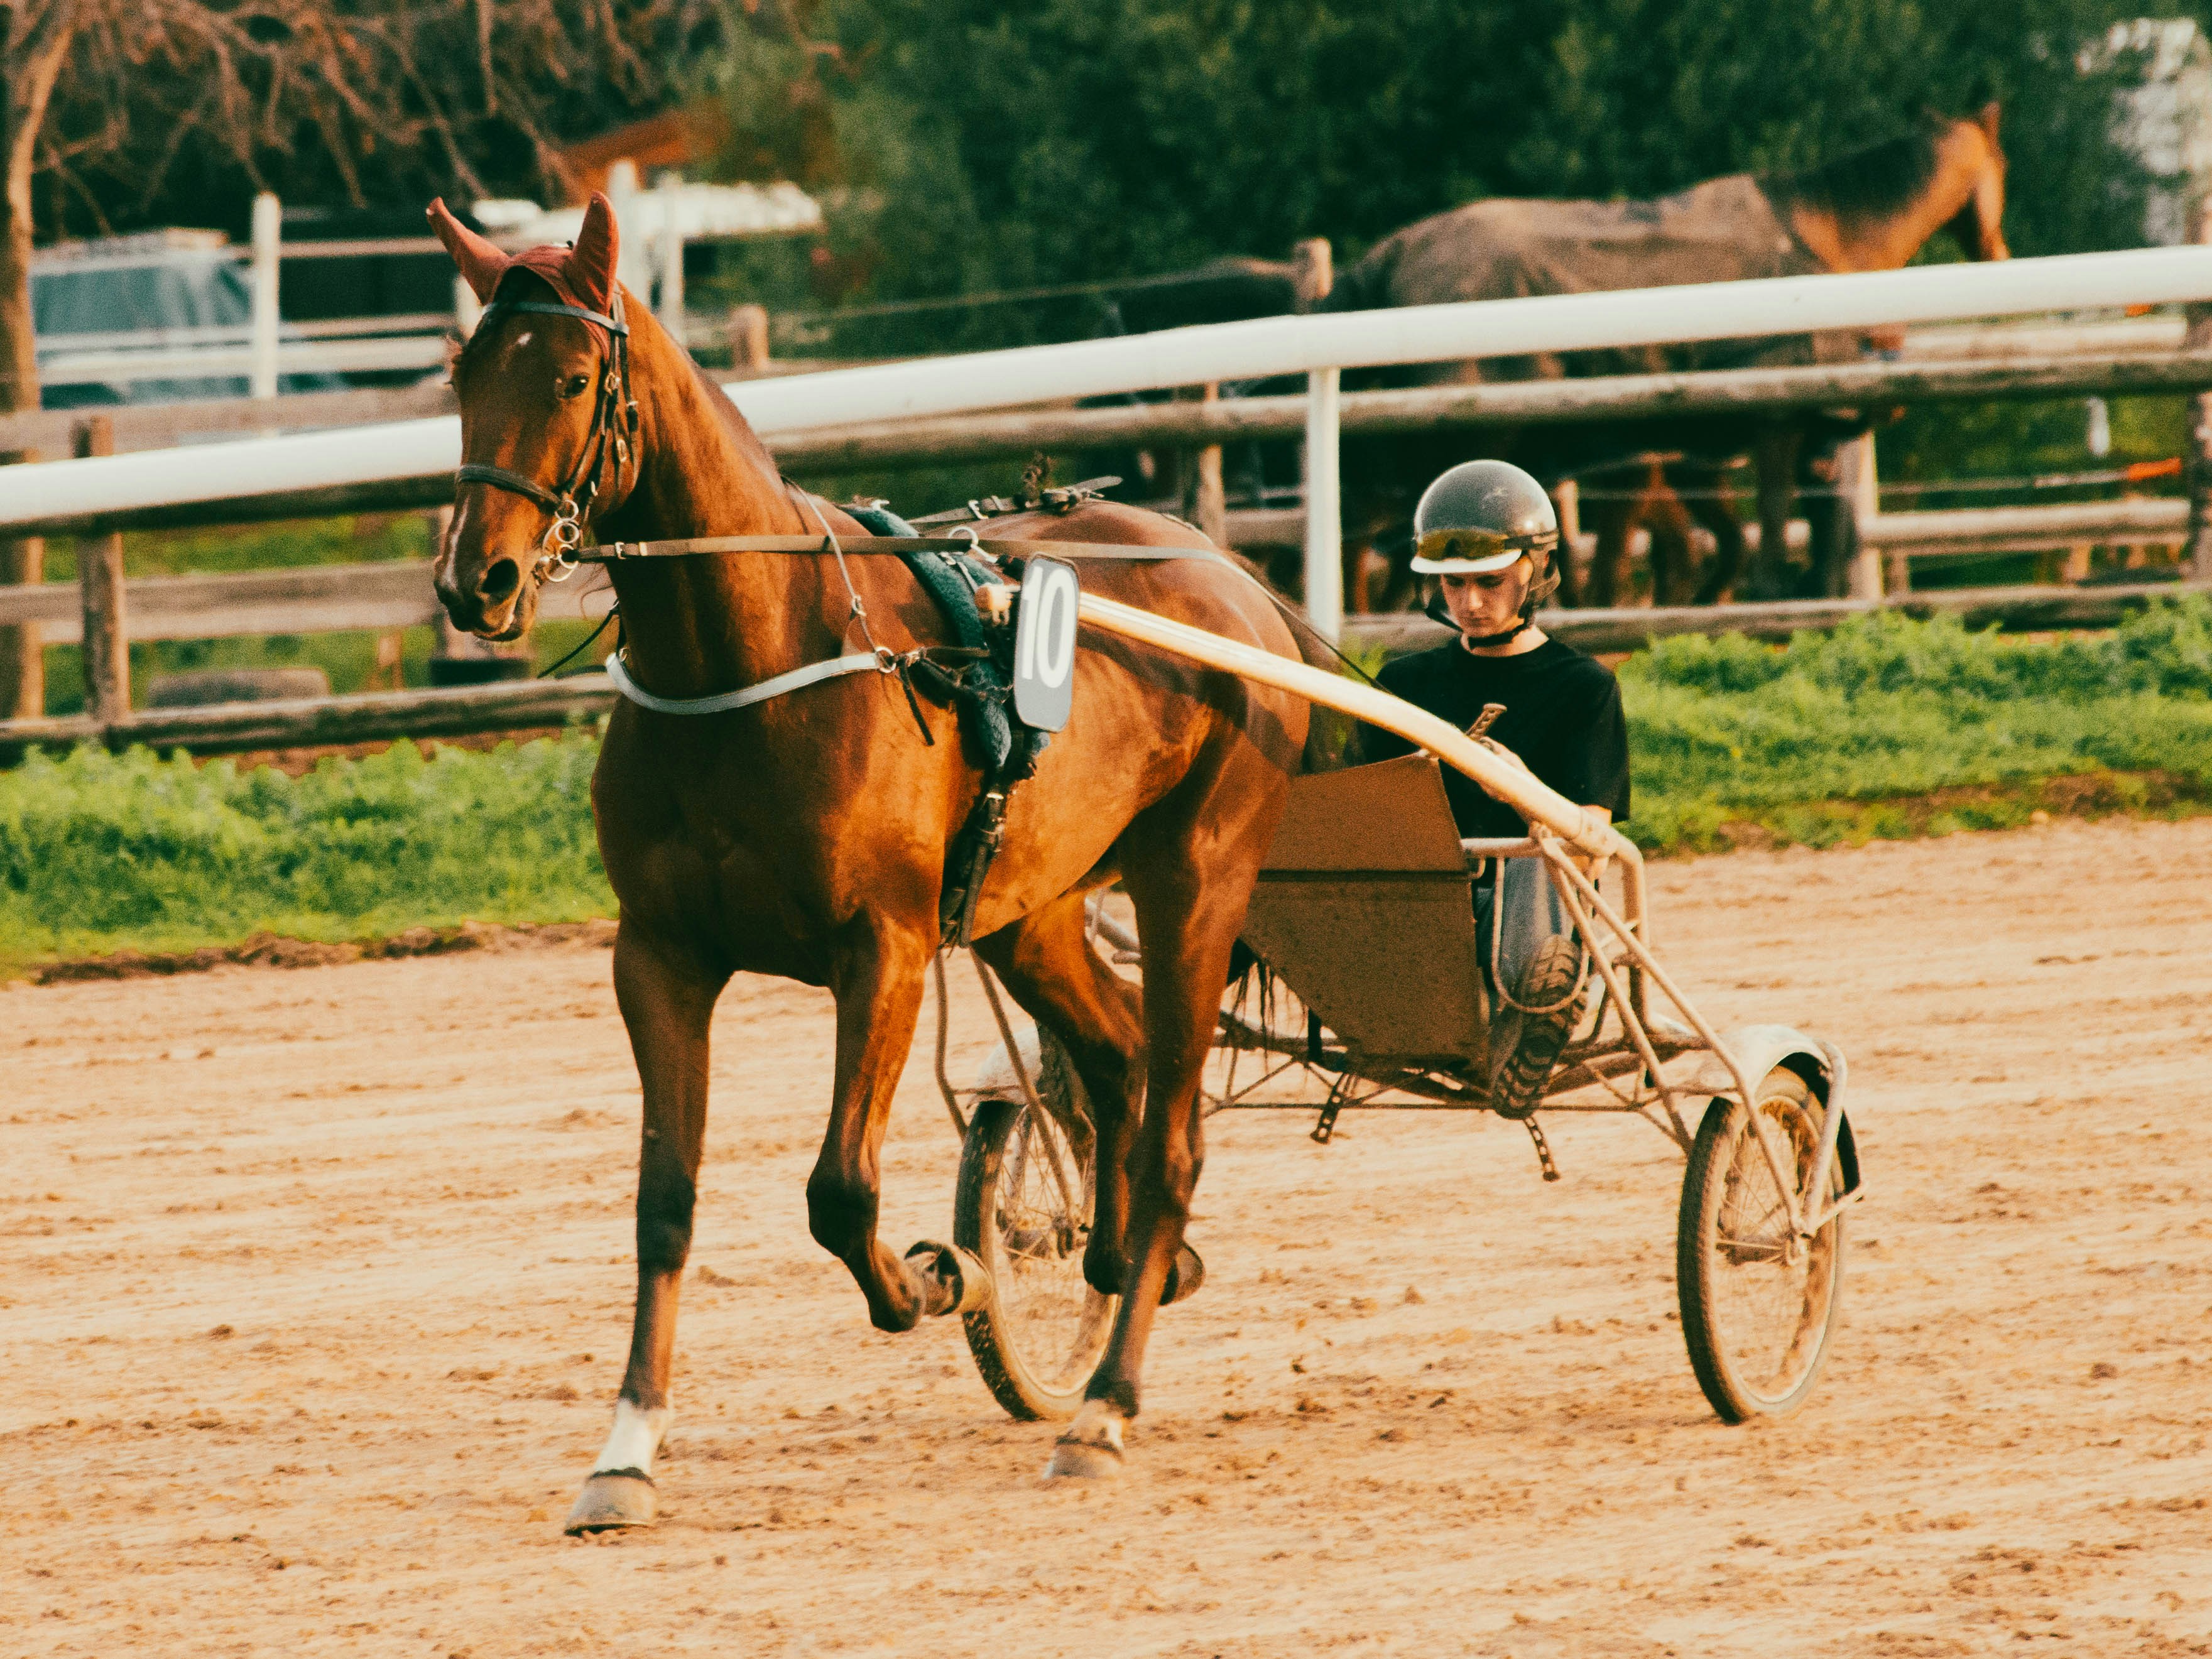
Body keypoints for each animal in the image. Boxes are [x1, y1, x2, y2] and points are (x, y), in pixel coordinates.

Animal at [426, 192, 1322, 1527]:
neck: (753, 659)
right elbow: (663, 1202)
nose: (473, 582)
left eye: (576, 378)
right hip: (1027, 908)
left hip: (1196, 877)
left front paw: (940, 1277)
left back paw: (1103, 1407)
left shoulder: (884, 945)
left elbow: (840, 1190)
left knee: (1170, 1129)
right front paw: (625, 1449)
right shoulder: (659, 956)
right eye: (464, 374)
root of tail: (1232, 575)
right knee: (1114, 1054)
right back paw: (1119, 1264)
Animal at [1323, 104, 2008, 609]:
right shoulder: (1776, 424)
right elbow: (1771, 526)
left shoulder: (1799, 434)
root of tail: (1389, 255)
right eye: (2001, 167)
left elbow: (1806, 530)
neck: (1822, 242)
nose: (1996, 253)